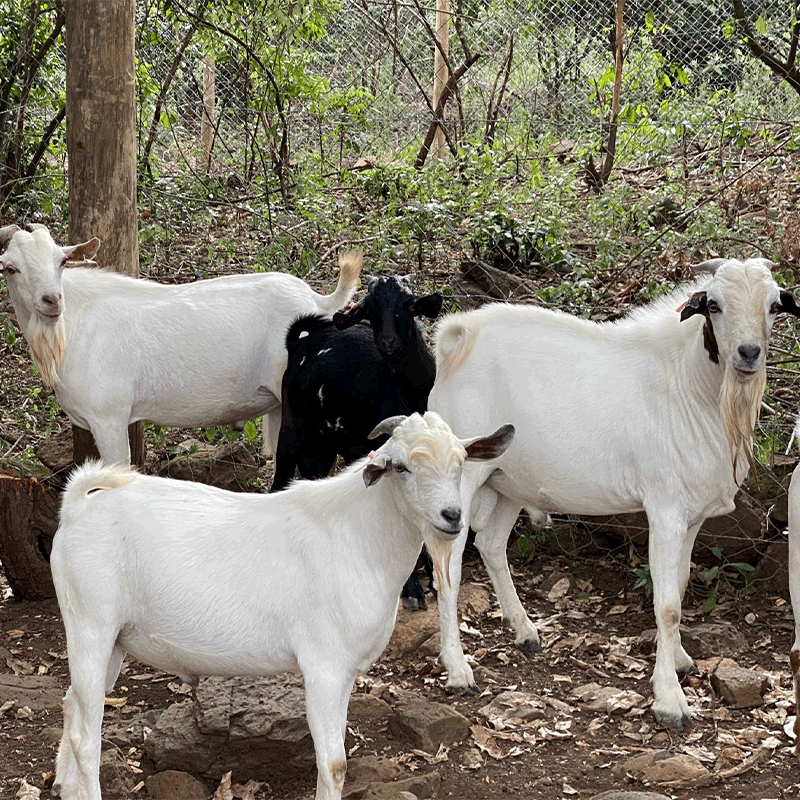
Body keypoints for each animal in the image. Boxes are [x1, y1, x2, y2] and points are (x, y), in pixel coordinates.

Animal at [0, 224, 361, 463]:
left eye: (61, 262)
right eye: (10, 268)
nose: (52, 300)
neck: (71, 328)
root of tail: (316, 299)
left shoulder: (109, 418)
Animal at [49, 412, 514, 800]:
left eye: (461, 462)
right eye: (401, 466)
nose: (451, 516)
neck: (358, 536)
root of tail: (78, 506)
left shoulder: (345, 672)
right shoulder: (323, 667)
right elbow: (334, 762)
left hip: (115, 640)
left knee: (73, 705)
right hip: (90, 625)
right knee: (86, 738)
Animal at [271, 275, 442, 610]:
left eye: (409, 306)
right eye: (369, 310)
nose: (388, 340)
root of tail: (300, 342)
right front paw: (411, 588)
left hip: (323, 447)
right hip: (292, 427)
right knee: (280, 477)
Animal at [427, 257, 800, 731]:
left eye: (774, 305)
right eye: (713, 305)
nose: (749, 353)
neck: (691, 386)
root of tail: (458, 337)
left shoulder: (692, 516)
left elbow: (679, 586)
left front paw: (680, 660)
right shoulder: (665, 509)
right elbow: (667, 605)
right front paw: (670, 699)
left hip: (509, 476)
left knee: (491, 545)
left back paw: (525, 632)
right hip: (463, 473)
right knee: (448, 566)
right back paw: (458, 670)